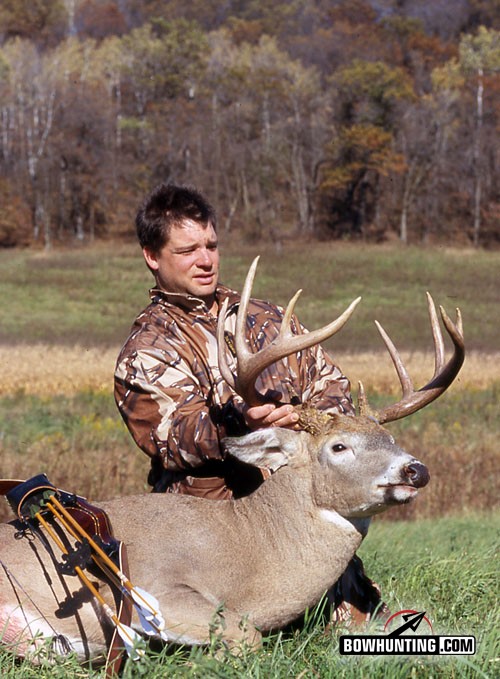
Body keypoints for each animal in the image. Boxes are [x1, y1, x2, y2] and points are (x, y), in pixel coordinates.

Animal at [0, 258, 464, 667]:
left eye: (390, 439)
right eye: (338, 447)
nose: (415, 470)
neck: (249, 549)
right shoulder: (157, 583)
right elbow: (245, 634)